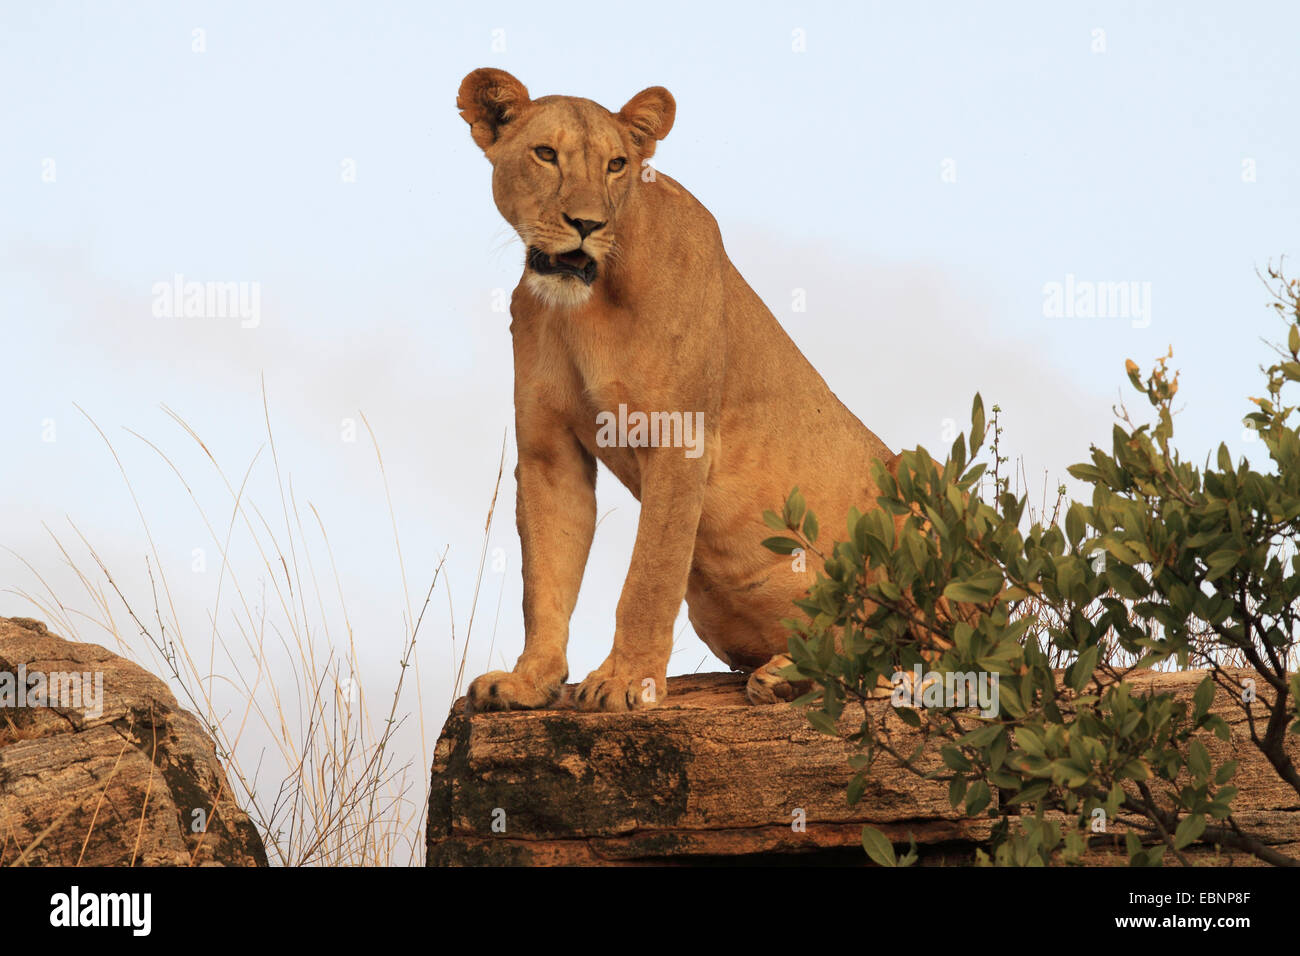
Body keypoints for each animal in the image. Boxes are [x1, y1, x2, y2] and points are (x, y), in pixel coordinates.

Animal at [458, 68, 904, 712]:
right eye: (545, 154)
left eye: (617, 165)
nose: (587, 225)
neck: (586, 305)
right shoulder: (548, 449)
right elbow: (545, 574)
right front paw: (528, 681)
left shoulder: (680, 440)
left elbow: (650, 575)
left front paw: (623, 682)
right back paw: (788, 670)